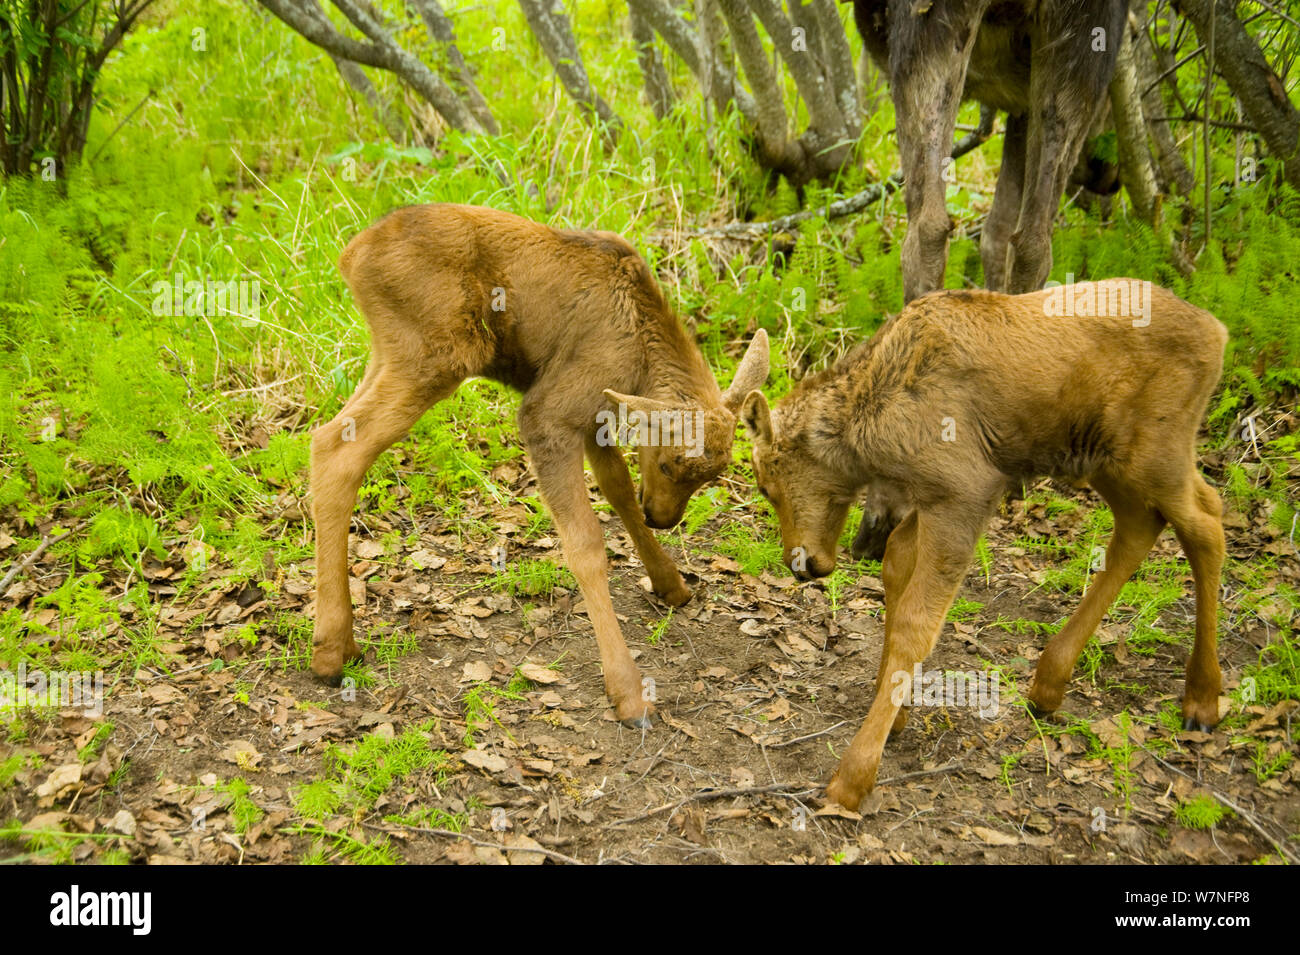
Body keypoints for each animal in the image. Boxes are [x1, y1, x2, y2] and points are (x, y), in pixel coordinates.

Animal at [310, 203, 770, 727]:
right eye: (672, 464)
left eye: (712, 474)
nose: (664, 517)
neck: (639, 359)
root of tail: (352, 257)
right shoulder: (548, 414)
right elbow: (587, 546)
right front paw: (628, 691)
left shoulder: (593, 419)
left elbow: (619, 490)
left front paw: (670, 582)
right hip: (439, 354)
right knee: (336, 451)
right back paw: (330, 650)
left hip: (390, 356)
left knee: (324, 435)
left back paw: (339, 640)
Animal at [740, 280, 1227, 810]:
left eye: (767, 485)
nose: (802, 564)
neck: (870, 433)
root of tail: (1217, 331)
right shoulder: (932, 497)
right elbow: (895, 568)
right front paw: (899, 712)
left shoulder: (966, 490)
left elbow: (916, 623)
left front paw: (854, 776)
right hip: (1106, 461)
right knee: (1141, 526)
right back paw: (1050, 682)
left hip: (1157, 452)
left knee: (1207, 521)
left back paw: (1203, 698)